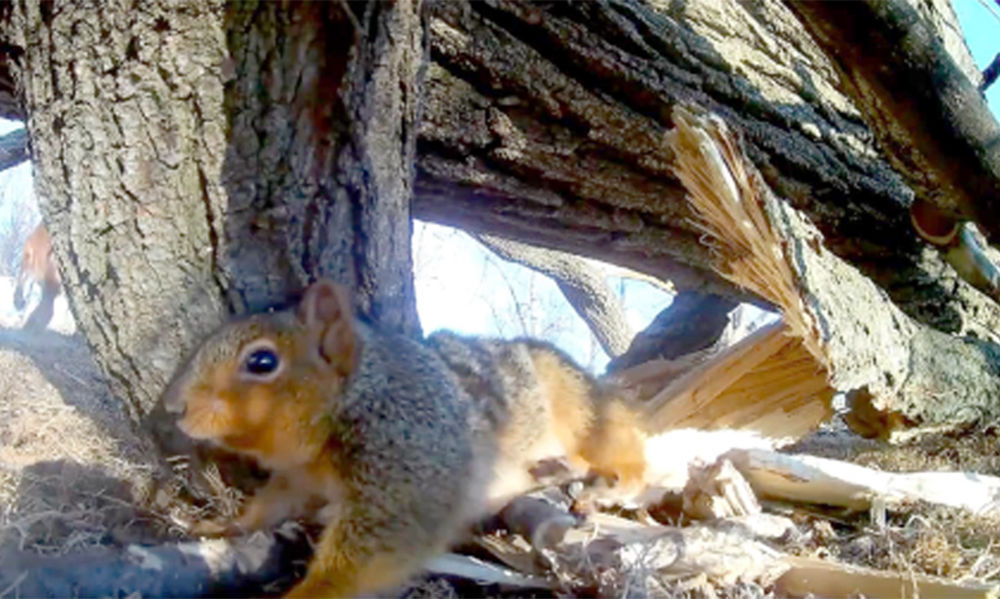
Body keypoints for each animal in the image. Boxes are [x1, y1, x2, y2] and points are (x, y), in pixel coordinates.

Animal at [163, 278, 646, 597]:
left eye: (262, 362)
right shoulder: (299, 478)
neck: (352, 399)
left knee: (622, 445)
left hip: (579, 407)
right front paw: (221, 524)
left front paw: (306, 593)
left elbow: (373, 550)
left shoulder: (410, 464)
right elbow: (270, 505)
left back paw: (615, 479)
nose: (173, 406)